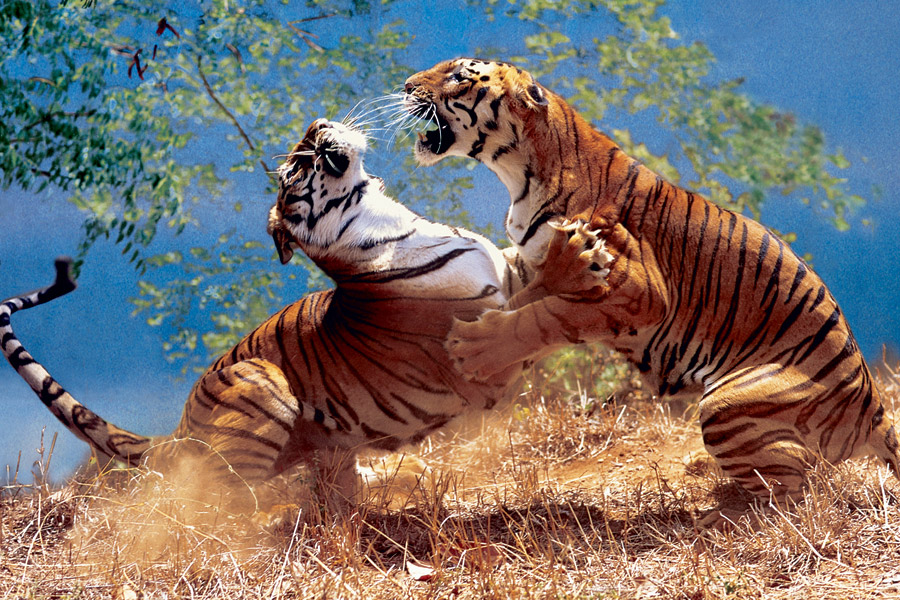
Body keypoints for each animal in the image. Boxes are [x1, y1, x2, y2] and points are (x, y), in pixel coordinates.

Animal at [0, 118, 558, 510]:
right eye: (297, 162)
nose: (315, 123)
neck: (396, 224)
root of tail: (178, 430)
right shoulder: (478, 343)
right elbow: (543, 312)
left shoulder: (509, 271)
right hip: (261, 381)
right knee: (219, 507)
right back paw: (279, 519)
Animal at [402, 58, 900, 514]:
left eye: (458, 76)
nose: (406, 85)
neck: (522, 174)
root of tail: (873, 404)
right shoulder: (530, 265)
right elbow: (525, 300)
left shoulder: (639, 292)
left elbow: (545, 317)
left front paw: (474, 349)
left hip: (726, 406)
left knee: (798, 490)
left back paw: (717, 516)